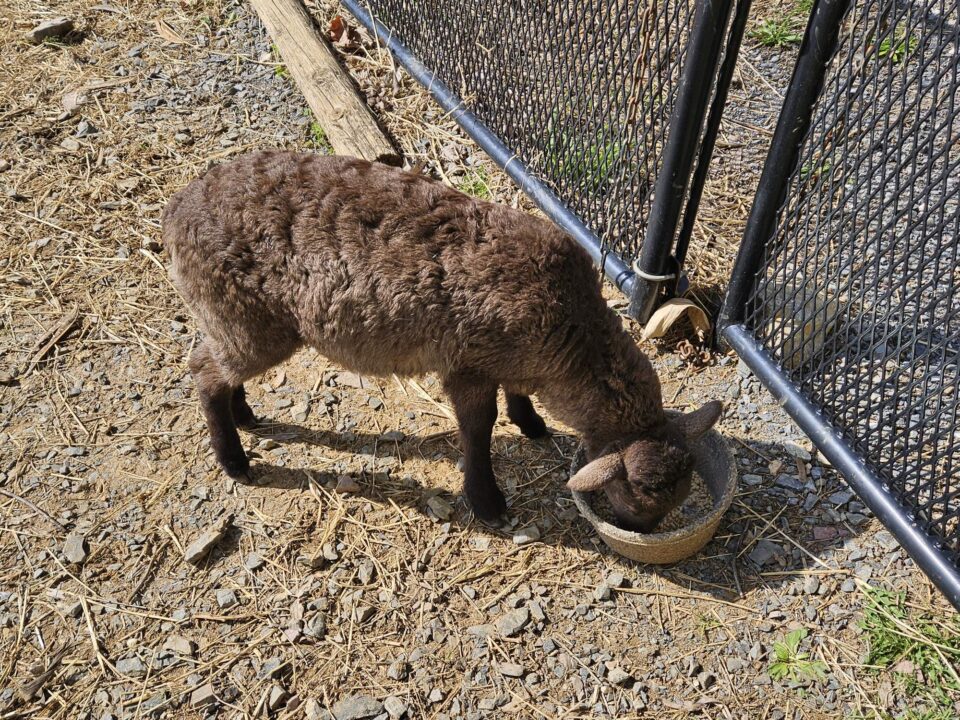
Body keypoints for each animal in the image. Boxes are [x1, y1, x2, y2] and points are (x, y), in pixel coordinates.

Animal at [163, 150, 722, 530]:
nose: (636, 531)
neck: (571, 331)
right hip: (246, 316)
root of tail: (176, 208)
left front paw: (532, 424)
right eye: (638, 496)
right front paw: (487, 500)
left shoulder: (509, 359)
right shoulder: (468, 364)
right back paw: (234, 460)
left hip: (229, 316)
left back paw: (244, 415)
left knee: (216, 362)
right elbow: (477, 428)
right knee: (203, 370)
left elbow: (515, 396)